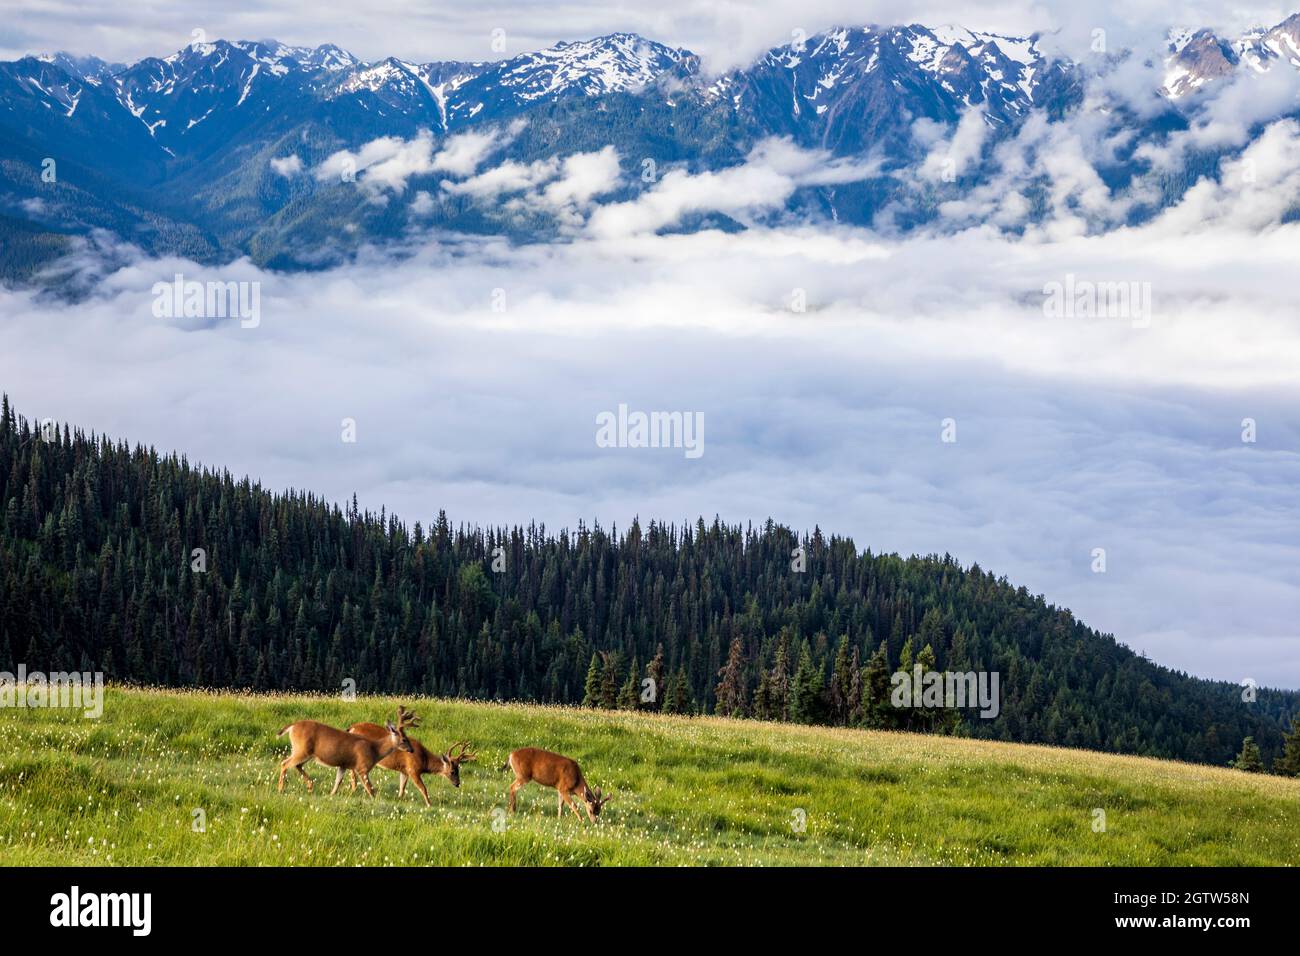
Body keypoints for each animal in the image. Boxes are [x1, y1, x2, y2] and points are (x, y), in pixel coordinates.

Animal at [275, 709, 414, 798]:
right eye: (404, 739)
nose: (412, 750)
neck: (375, 750)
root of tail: (292, 726)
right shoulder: (362, 767)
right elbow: (371, 790)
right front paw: (375, 800)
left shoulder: (343, 765)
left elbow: (337, 782)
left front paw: (331, 795)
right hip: (301, 750)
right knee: (284, 763)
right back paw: (280, 789)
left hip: (304, 752)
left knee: (297, 765)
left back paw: (310, 786)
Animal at [345, 706, 477, 806]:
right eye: (452, 772)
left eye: (458, 770)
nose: (458, 783)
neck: (424, 760)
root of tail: (351, 728)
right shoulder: (413, 769)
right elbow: (423, 788)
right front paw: (429, 804)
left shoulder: (404, 771)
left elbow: (402, 788)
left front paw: (399, 799)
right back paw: (354, 788)